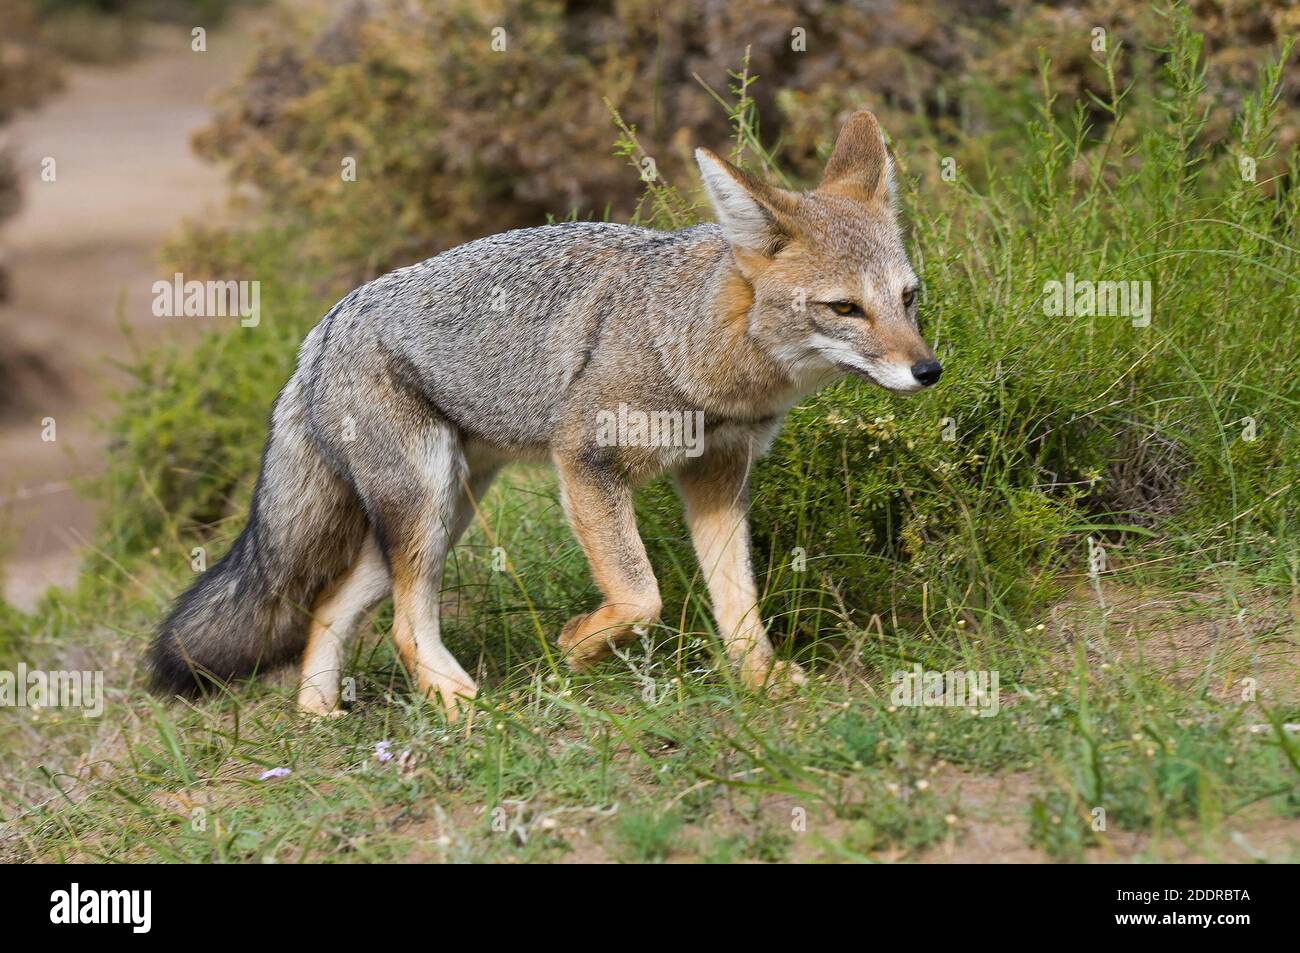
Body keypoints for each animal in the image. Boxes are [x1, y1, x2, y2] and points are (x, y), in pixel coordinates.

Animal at [147, 110, 942, 718]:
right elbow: (641, 595)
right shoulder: (584, 460)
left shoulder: (718, 474)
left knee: (330, 608)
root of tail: (322, 330)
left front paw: (760, 679)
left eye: (908, 298)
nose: (929, 370)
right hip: (428, 506)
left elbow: (736, 600)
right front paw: (579, 644)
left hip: (444, 512)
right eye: (845, 308)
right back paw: (461, 705)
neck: (690, 342)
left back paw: (319, 717)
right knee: (403, 625)